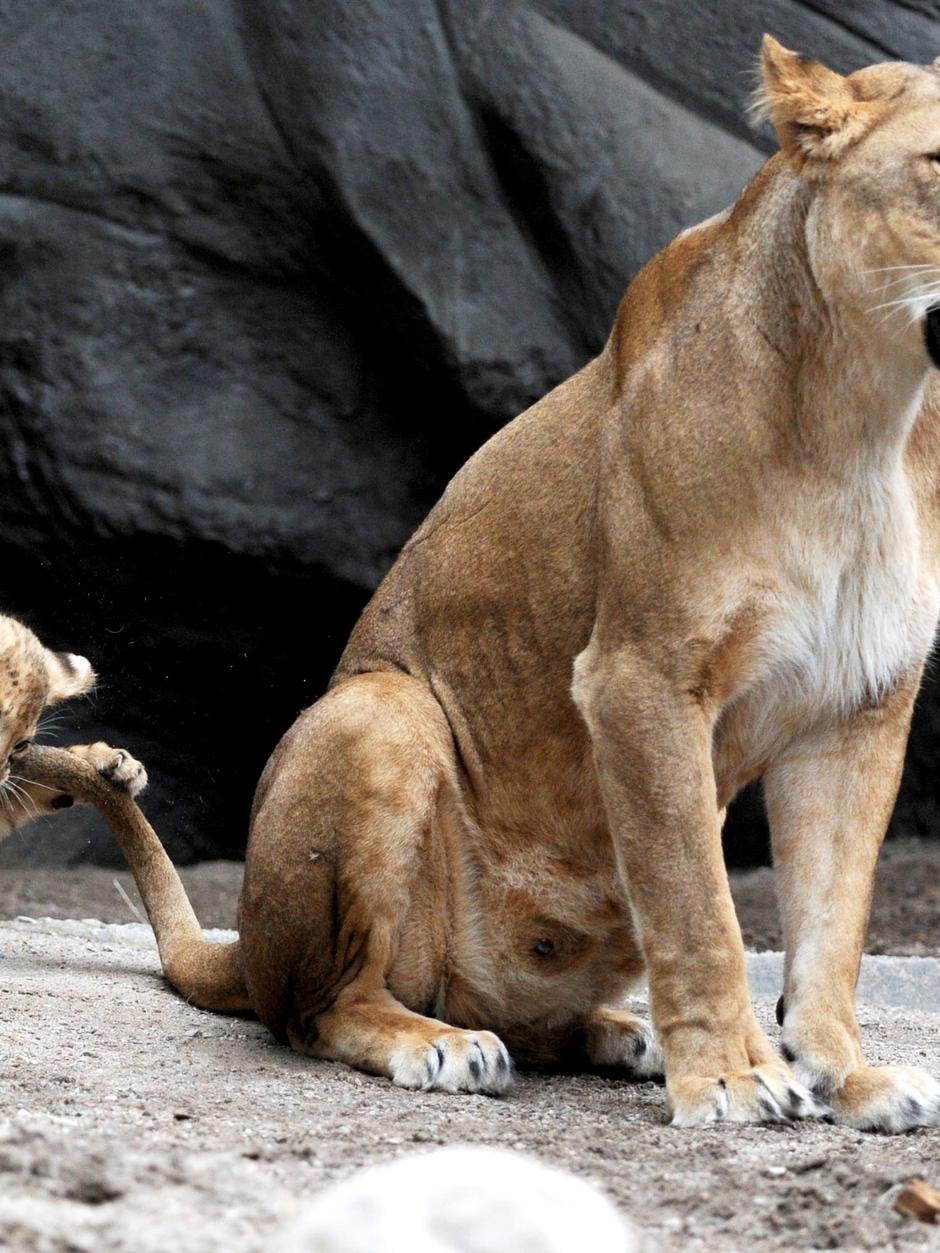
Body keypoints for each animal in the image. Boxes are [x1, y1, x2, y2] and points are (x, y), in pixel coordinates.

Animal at [30, 36, 940, 1131]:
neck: (871, 414)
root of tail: (242, 937)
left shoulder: (859, 700)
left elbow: (832, 924)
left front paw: (845, 1073)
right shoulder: (640, 673)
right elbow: (700, 907)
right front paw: (727, 1075)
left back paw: (618, 1032)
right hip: (383, 713)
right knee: (320, 1008)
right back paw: (442, 1043)